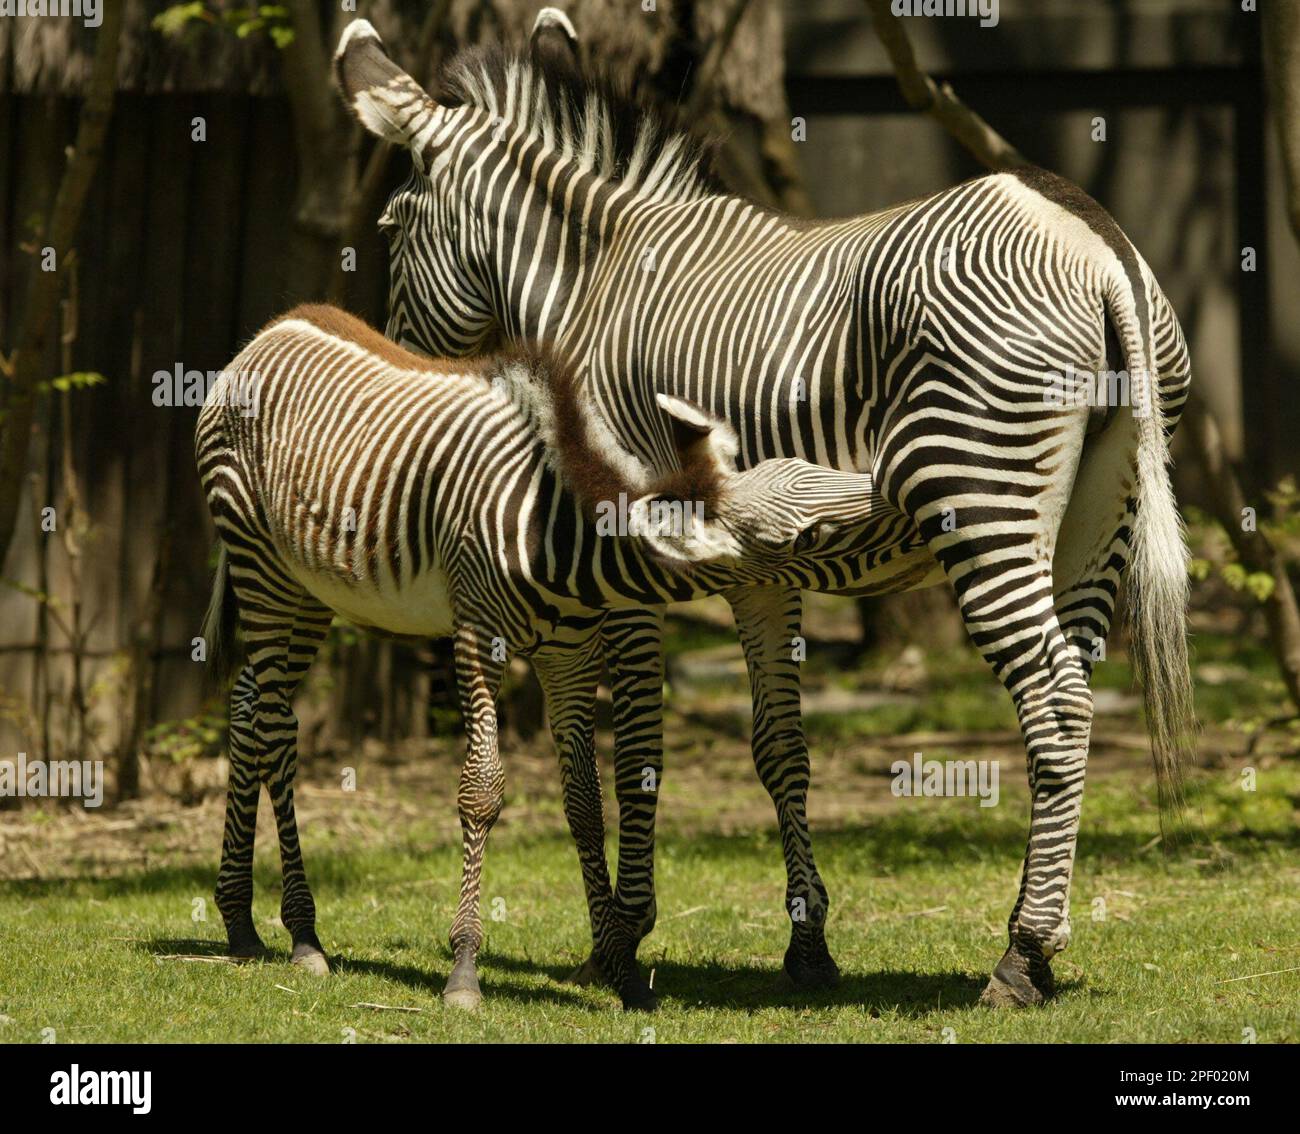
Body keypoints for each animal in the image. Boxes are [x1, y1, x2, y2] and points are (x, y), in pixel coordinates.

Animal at [196, 302, 894, 1009]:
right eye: (808, 535)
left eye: (811, 473)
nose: (893, 491)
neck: (557, 539)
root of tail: (270, 332)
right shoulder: (477, 638)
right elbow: (482, 791)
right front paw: (465, 969)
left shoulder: (571, 654)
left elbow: (584, 802)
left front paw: (618, 969)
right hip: (261, 568)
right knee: (277, 733)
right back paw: (303, 934)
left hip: (310, 589)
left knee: (249, 706)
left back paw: (239, 923)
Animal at [333, 12, 1196, 1009]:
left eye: (391, 227)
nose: (401, 377)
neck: (591, 280)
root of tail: (1097, 243)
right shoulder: (760, 569)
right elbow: (780, 746)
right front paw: (807, 943)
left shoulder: (628, 546)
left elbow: (639, 742)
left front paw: (624, 939)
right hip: (1101, 517)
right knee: (1081, 692)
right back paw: (1040, 949)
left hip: (978, 492)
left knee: (1053, 700)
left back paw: (1020, 954)